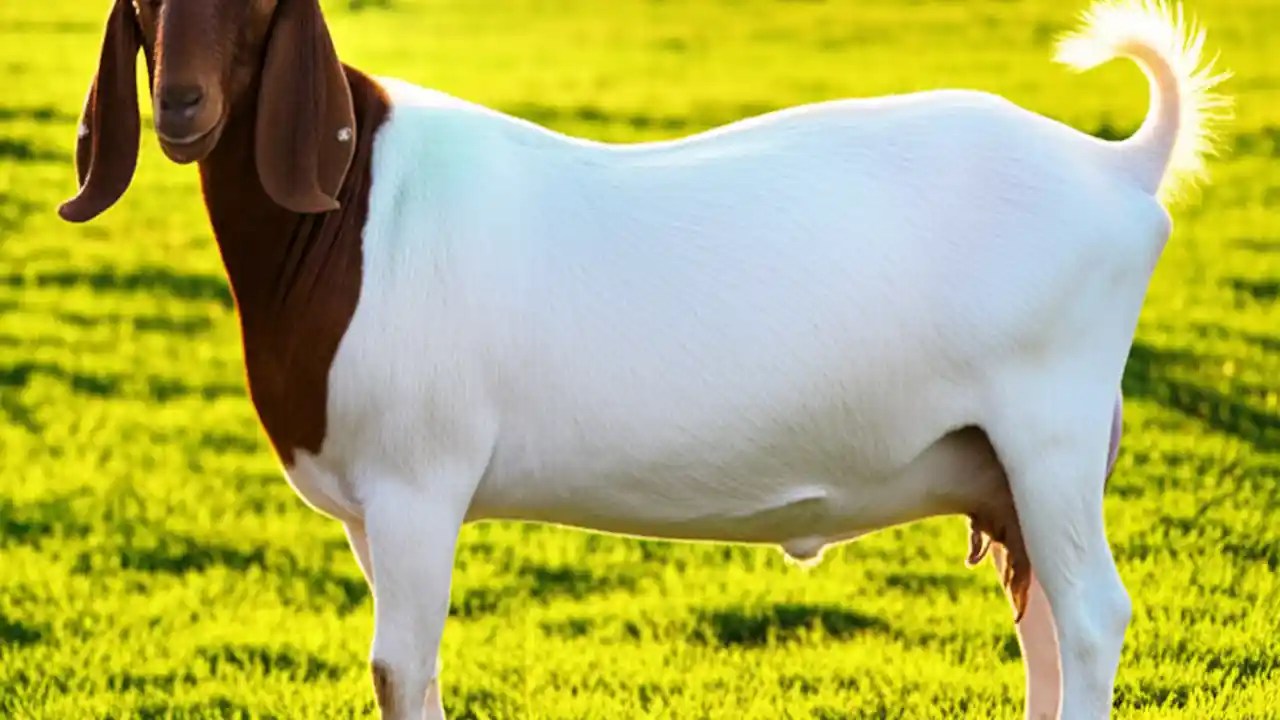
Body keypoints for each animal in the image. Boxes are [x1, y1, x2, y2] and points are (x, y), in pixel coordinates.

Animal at [60, 0, 1228, 717]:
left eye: (262, 5)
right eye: (141, 5)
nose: (182, 108)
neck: (349, 216)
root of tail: (1120, 169)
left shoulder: (416, 485)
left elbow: (399, 670)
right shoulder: (368, 512)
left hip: (1049, 429)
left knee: (1089, 617)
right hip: (1008, 468)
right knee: (1041, 620)